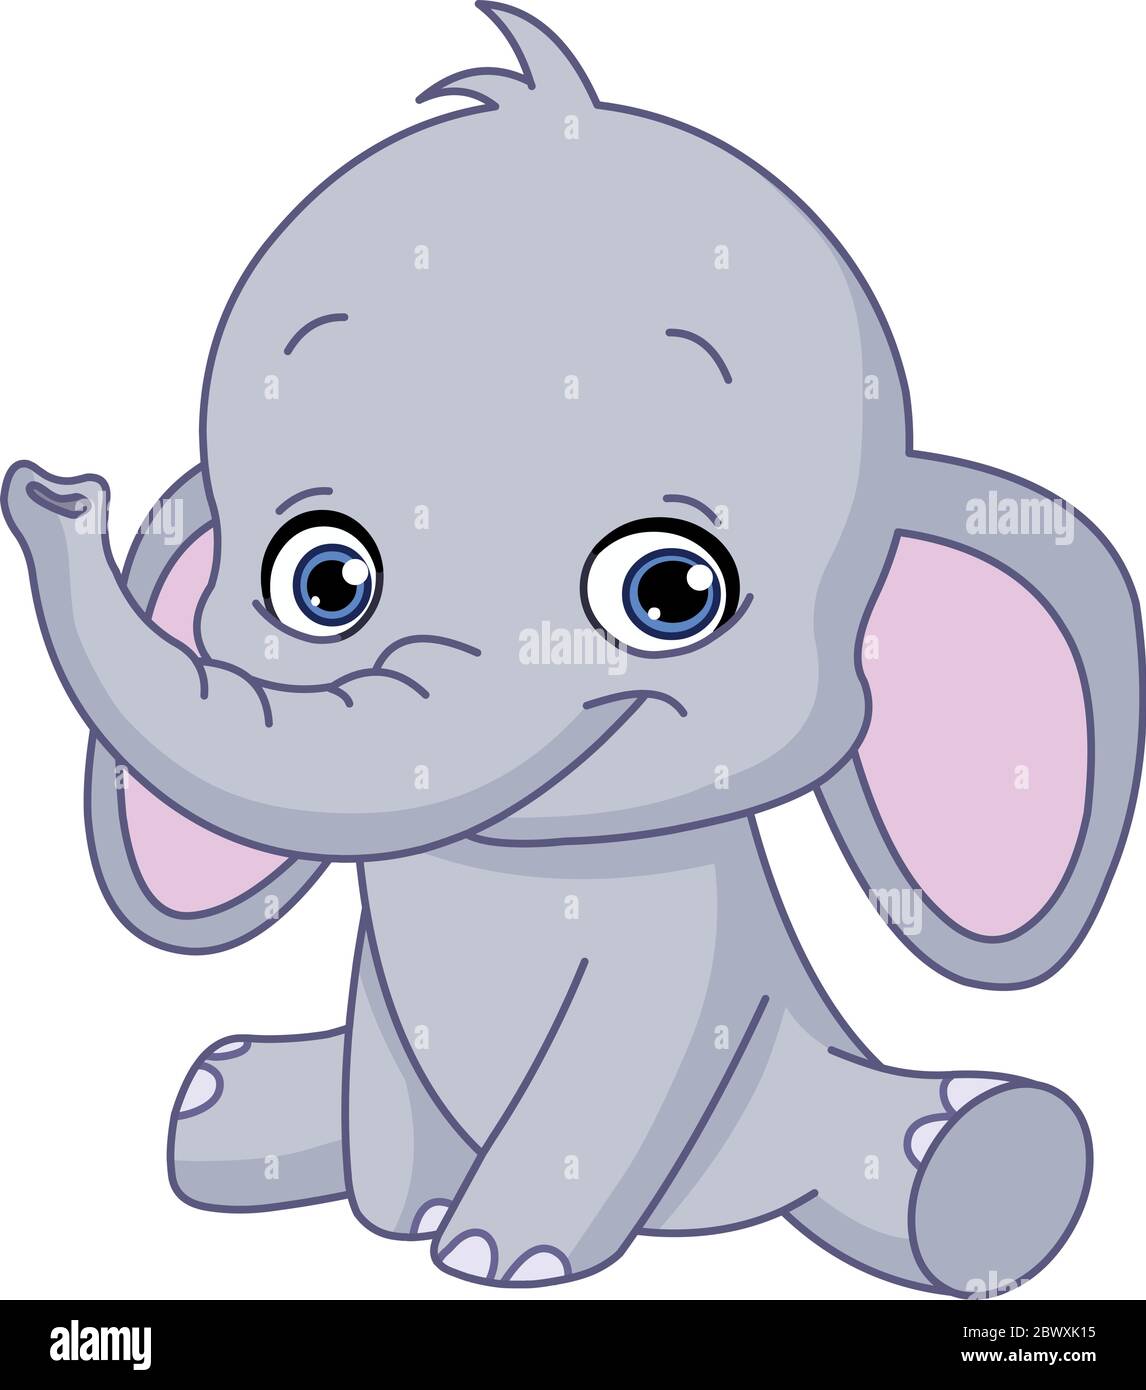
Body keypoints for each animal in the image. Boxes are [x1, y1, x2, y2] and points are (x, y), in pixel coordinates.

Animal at [3, 2, 1142, 1294]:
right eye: (324, 581)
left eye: (673, 591)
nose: (57, 491)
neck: (528, 864)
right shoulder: (386, 965)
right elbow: (384, 1051)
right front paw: (401, 1218)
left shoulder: (686, 956)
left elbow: (622, 1064)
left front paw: (496, 1255)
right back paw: (220, 1092)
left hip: (804, 1105)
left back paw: (972, 1145)